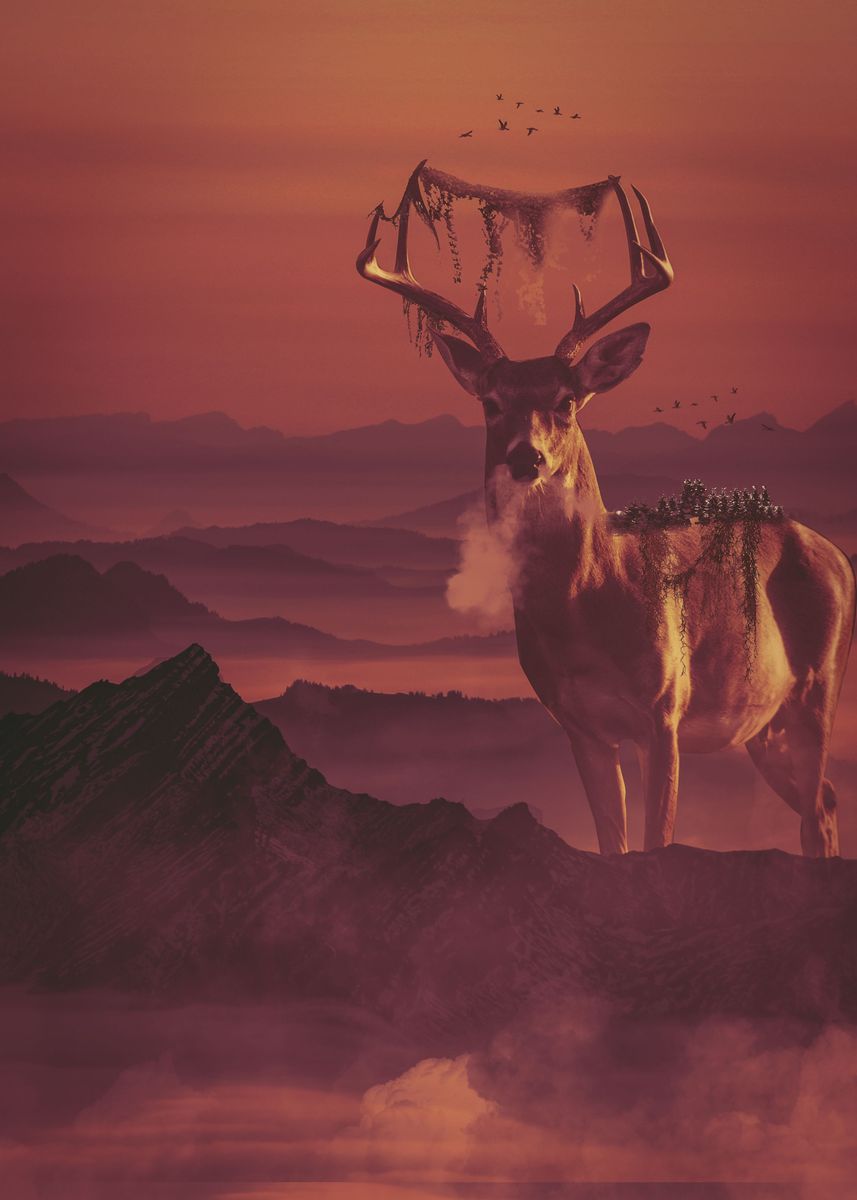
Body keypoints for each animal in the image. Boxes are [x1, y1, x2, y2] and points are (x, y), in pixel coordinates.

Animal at [356, 166, 855, 857]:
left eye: (567, 400)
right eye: (490, 401)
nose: (527, 457)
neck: (590, 607)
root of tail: (838, 556)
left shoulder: (664, 711)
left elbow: (655, 844)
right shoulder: (580, 725)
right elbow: (611, 846)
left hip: (817, 689)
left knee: (818, 806)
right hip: (764, 725)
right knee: (827, 802)